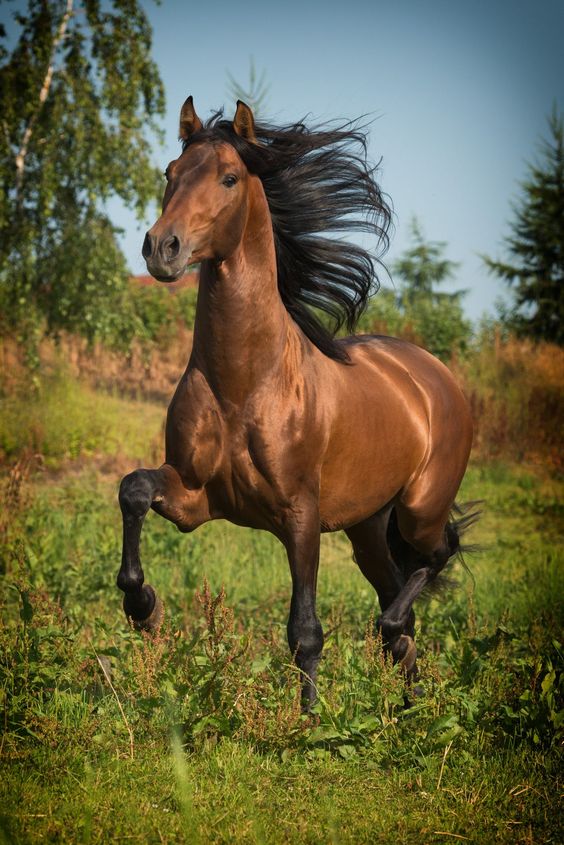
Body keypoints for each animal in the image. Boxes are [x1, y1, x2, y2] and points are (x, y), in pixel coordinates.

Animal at [117, 97, 474, 707]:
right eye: (170, 172)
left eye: (229, 178)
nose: (161, 248)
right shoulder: (194, 496)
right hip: (367, 528)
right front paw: (144, 607)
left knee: (434, 557)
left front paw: (306, 720)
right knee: (397, 596)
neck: (244, 386)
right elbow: (135, 489)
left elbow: (305, 629)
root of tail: (434, 375)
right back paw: (407, 701)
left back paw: (399, 656)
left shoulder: (300, 517)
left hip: (419, 507)